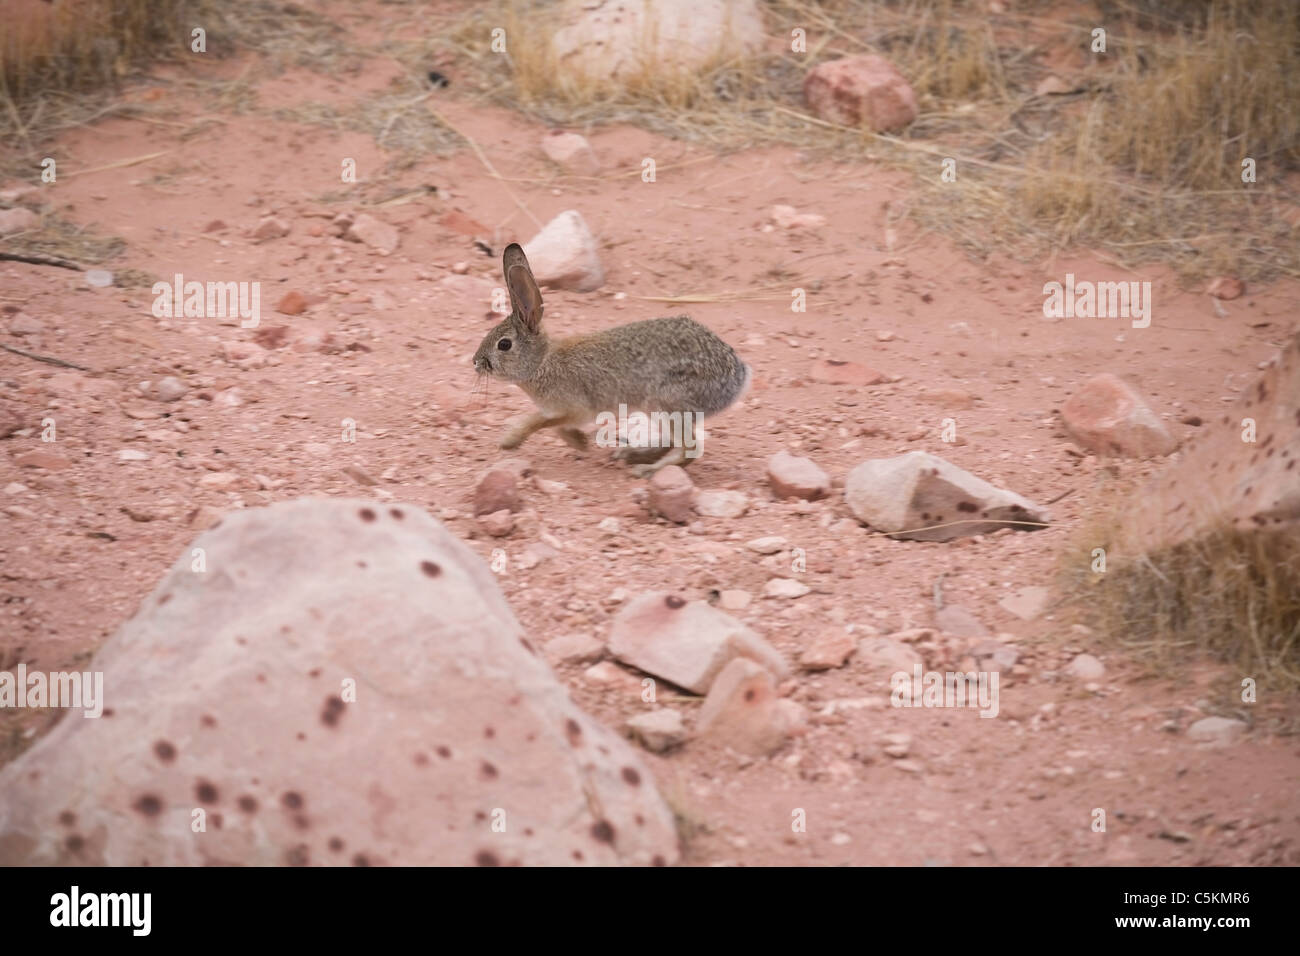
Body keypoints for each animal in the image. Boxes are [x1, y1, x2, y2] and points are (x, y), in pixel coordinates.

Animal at [472, 243, 750, 476]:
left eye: (504, 344)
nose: (476, 362)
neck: (541, 362)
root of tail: (738, 375)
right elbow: (555, 426)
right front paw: (580, 443)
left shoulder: (573, 407)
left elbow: (541, 421)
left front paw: (510, 441)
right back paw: (633, 455)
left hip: (667, 400)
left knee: (689, 448)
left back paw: (646, 470)